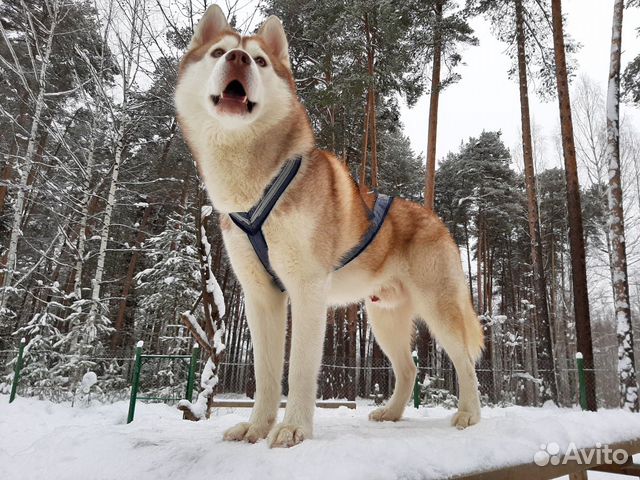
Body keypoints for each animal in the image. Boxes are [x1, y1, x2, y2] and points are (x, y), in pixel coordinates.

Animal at [175, 3, 480, 448]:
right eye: (219, 52)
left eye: (260, 60)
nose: (239, 58)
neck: (256, 186)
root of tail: (435, 218)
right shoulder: (260, 296)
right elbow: (266, 374)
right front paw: (256, 427)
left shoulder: (307, 289)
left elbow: (301, 368)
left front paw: (293, 429)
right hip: (384, 318)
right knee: (409, 368)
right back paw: (391, 412)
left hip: (438, 307)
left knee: (465, 360)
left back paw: (470, 414)